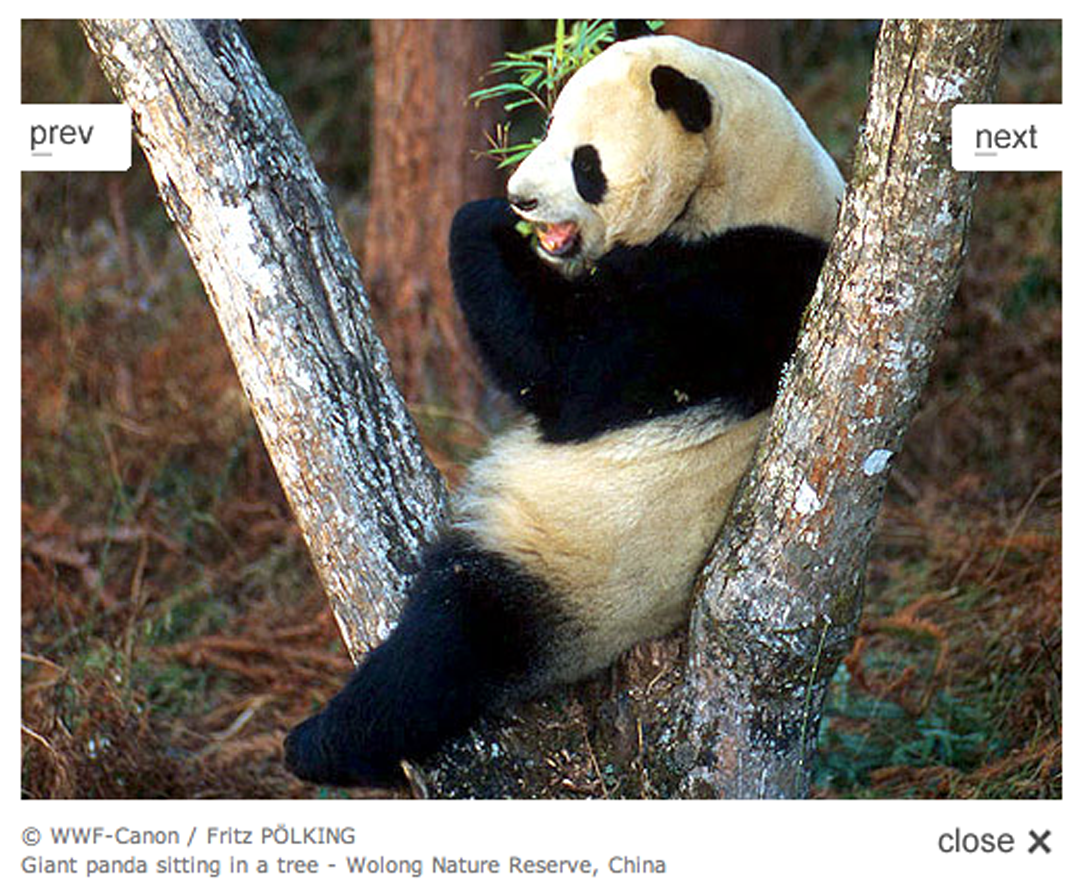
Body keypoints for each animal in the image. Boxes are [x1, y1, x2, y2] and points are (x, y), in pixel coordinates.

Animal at [284, 31, 845, 787]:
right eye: (547, 127)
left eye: (586, 164)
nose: (520, 198)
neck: (749, 183)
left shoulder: (738, 288)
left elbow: (567, 366)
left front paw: (481, 219)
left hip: (576, 571)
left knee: (452, 643)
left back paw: (324, 743)